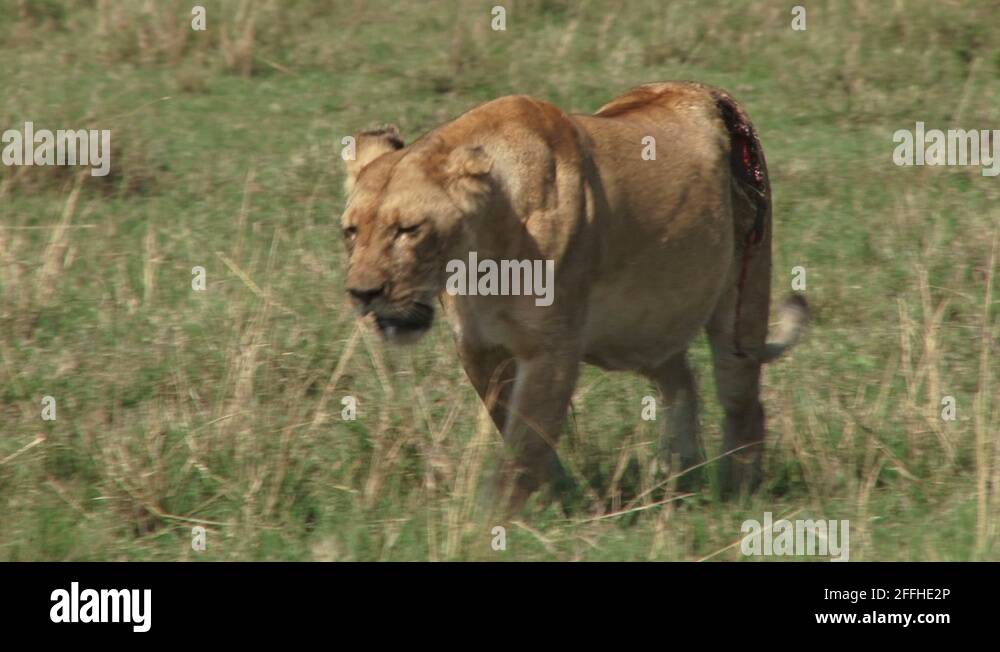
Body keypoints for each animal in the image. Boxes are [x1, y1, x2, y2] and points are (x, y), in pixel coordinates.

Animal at [340, 82, 809, 514]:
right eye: (351, 231)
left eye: (408, 229)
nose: (362, 294)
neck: (479, 256)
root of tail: (705, 90)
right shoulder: (478, 347)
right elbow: (513, 425)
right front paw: (557, 496)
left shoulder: (551, 350)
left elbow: (524, 441)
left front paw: (489, 521)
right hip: (644, 329)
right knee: (682, 383)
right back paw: (677, 472)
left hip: (742, 301)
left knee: (743, 402)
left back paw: (737, 490)